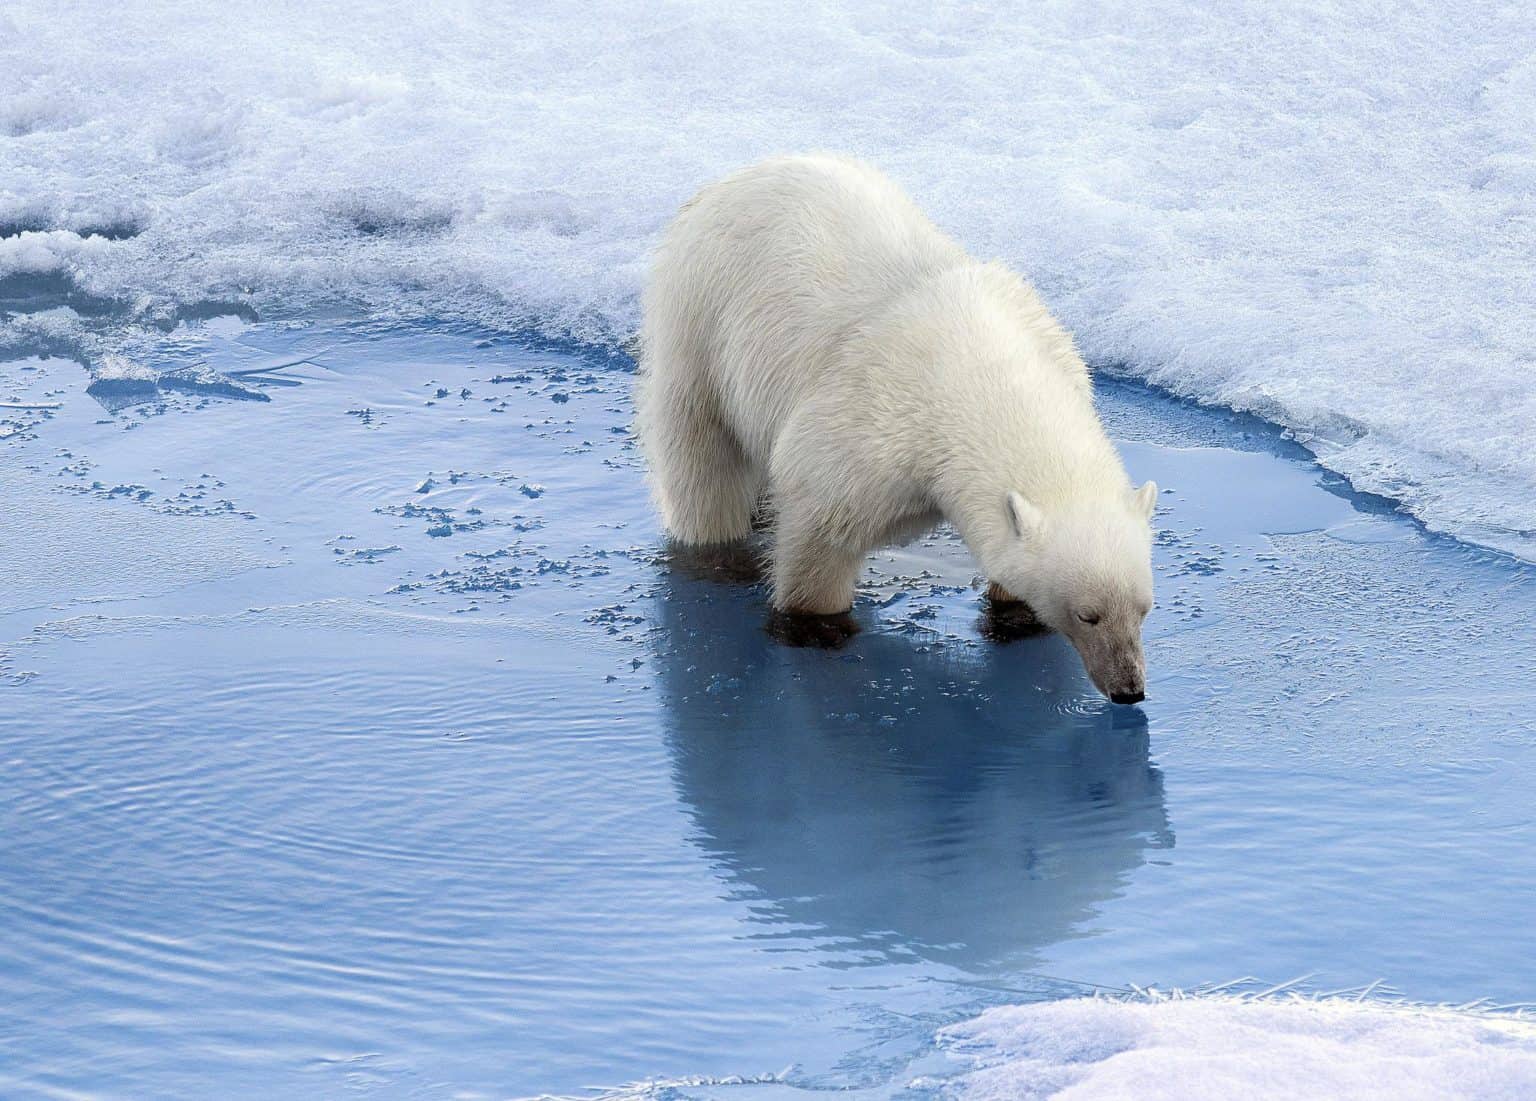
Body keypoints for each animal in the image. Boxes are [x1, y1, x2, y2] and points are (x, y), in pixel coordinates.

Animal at [636, 154, 1156, 704]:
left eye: (1144, 608)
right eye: (1088, 615)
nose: (1129, 688)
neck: (982, 367)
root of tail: (735, 178)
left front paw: (1013, 614)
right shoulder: (869, 426)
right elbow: (818, 536)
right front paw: (819, 628)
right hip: (701, 322)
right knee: (703, 464)